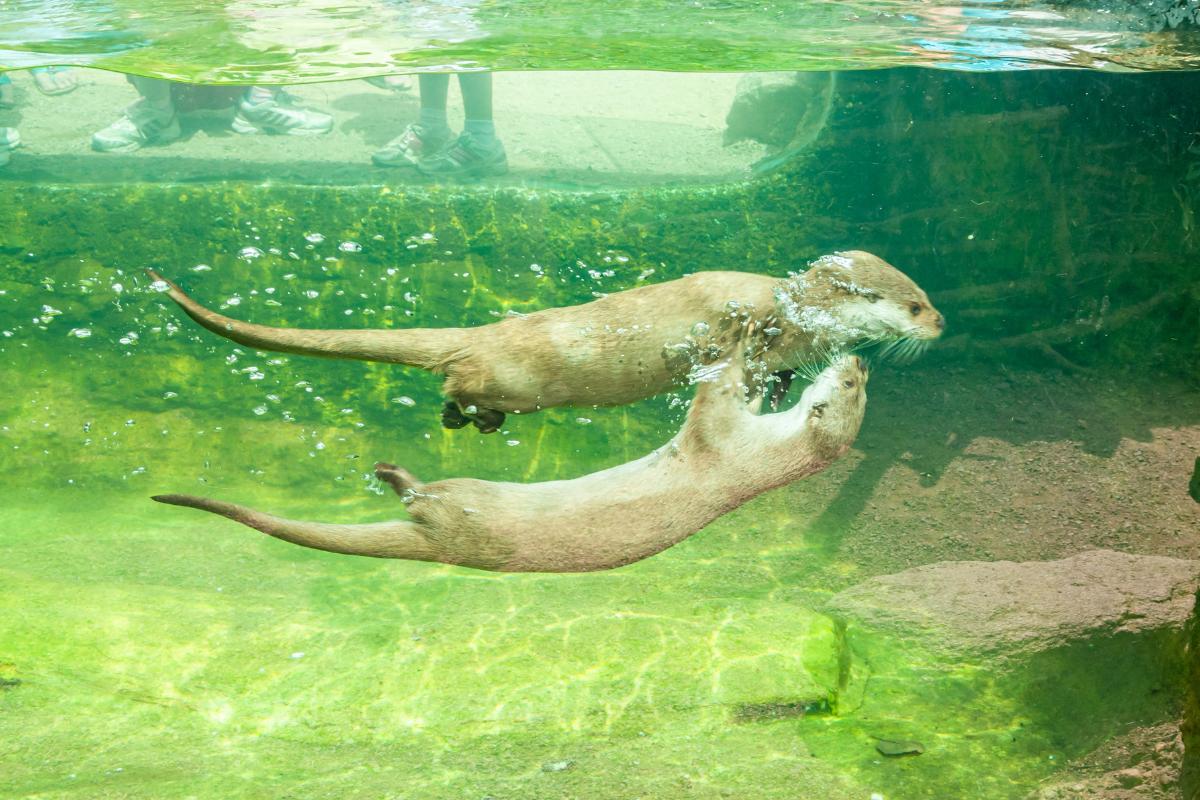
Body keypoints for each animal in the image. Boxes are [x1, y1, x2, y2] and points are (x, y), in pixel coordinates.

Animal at [151, 338, 869, 574]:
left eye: (851, 390)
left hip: (464, 496)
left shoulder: (720, 443)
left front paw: (739, 343)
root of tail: (440, 545)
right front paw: (767, 371)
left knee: (421, 495)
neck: (760, 461)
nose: (859, 362)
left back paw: (390, 472)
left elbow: (709, 403)